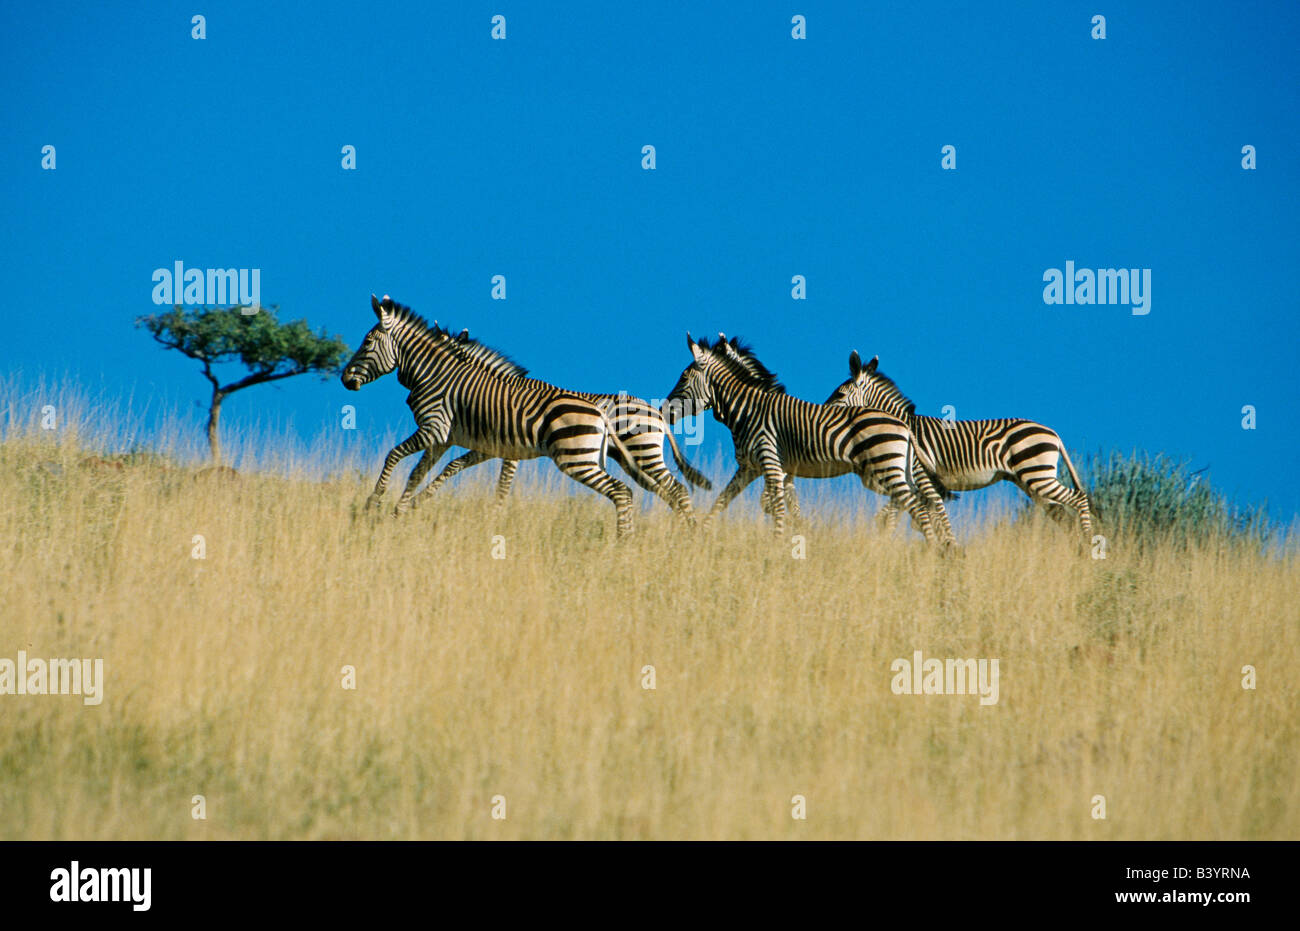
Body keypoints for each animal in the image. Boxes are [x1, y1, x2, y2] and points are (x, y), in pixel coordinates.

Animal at [341, 294, 660, 537]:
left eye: (367, 342)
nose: (345, 379)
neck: (438, 374)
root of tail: (601, 413)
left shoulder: (438, 430)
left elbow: (394, 455)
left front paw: (373, 503)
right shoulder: (454, 440)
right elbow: (422, 472)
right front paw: (401, 510)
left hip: (581, 459)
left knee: (627, 491)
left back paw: (625, 543)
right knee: (642, 491)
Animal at [407, 328, 711, 518]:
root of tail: (657, 412)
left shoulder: (510, 450)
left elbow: (502, 482)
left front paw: (496, 513)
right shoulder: (492, 446)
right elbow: (455, 465)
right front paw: (419, 500)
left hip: (642, 453)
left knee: (674, 489)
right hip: (633, 460)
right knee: (665, 491)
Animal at [662, 334, 955, 545]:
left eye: (684, 378)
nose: (664, 410)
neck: (748, 409)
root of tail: (904, 424)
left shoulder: (772, 463)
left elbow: (778, 507)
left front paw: (778, 545)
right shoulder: (749, 468)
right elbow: (722, 501)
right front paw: (698, 533)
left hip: (886, 468)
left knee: (918, 505)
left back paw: (934, 550)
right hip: (891, 471)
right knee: (921, 503)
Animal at [824, 351, 1093, 538]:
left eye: (839, 395)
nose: (822, 411)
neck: (904, 425)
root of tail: (1053, 433)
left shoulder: (921, 476)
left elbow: (915, 511)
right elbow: (892, 516)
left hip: (1037, 475)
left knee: (1079, 499)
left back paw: (1089, 548)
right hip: (1032, 481)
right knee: (1063, 515)